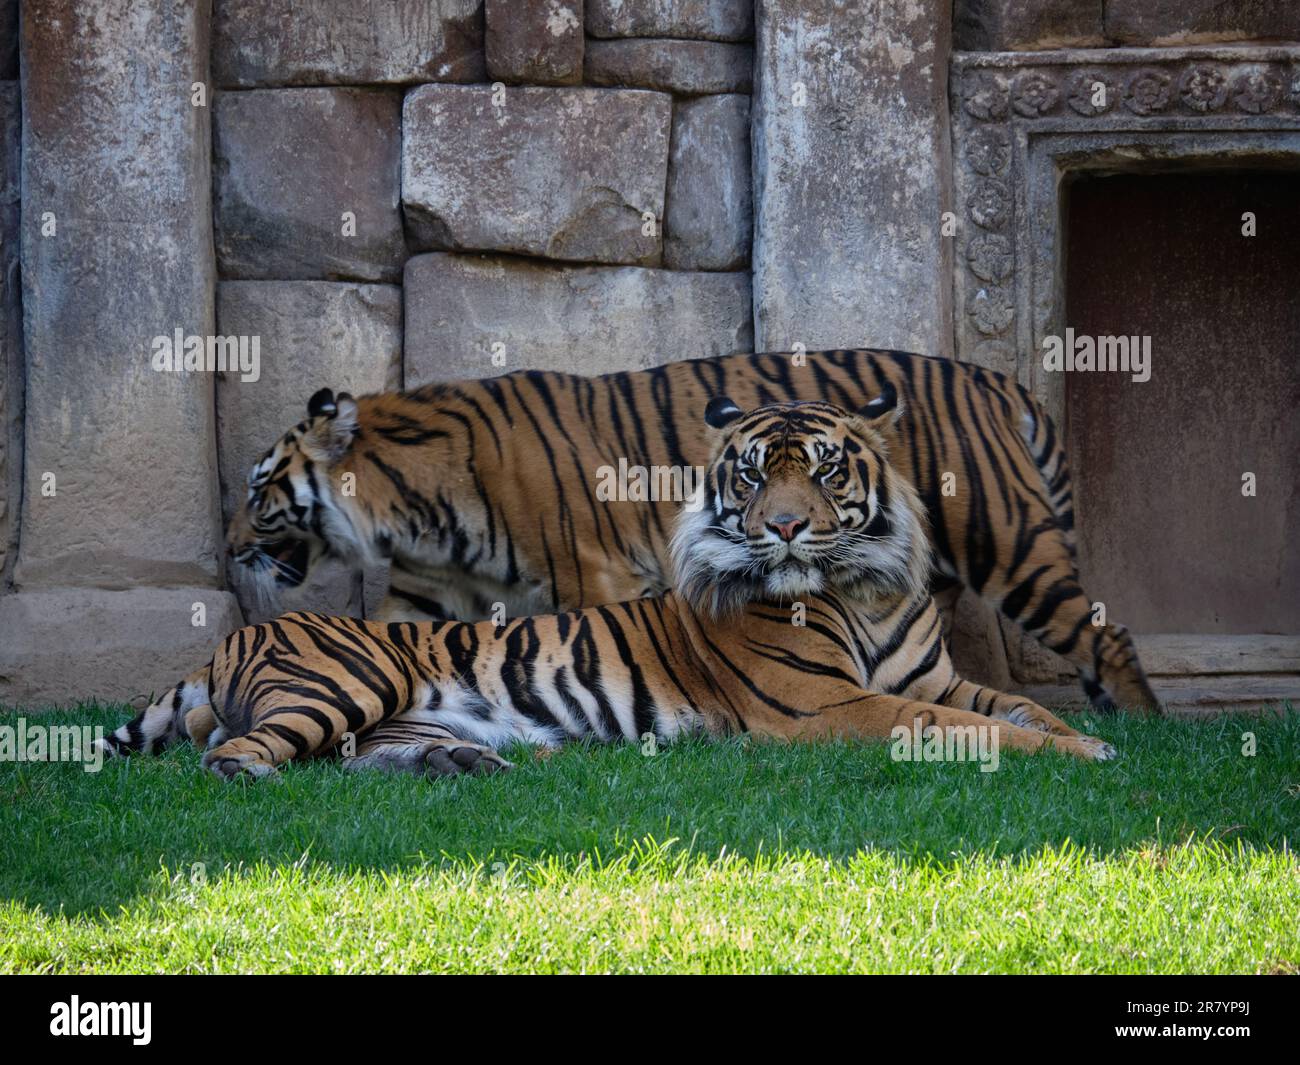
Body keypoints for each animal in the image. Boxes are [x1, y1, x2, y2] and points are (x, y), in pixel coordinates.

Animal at [101, 394, 1117, 777]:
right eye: (754, 476)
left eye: (827, 471)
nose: (786, 527)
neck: (859, 587)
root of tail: (229, 637)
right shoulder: (828, 707)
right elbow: (967, 729)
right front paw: (1085, 751)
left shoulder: (932, 677)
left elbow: (1016, 706)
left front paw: (1092, 736)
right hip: (348, 679)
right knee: (236, 755)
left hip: (393, 712)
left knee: (355, 758)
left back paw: (477, 764)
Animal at [225, 348, 1159, 714]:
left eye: (261, 488)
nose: (230, 548)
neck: (414, 514)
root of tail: (1000, 379)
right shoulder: (429, 593)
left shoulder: (591, 567)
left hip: (1009, 541)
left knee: (1104, 633)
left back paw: (1148, 724)